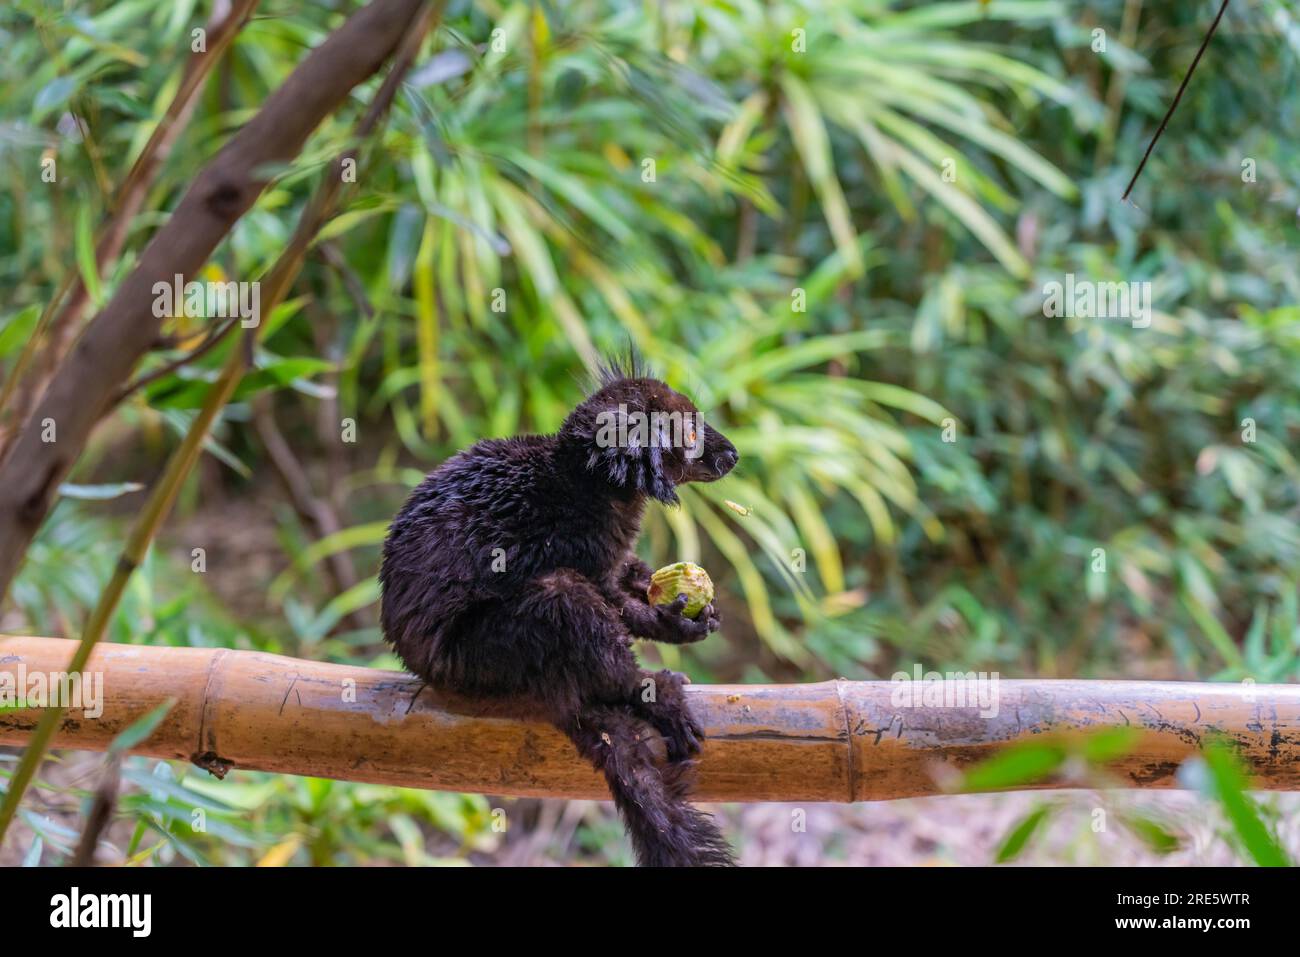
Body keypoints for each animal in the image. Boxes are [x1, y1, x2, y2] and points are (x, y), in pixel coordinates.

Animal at [379, 357, 739, 866]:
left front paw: (678, 608)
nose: (733, 455)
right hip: (479, 658)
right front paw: (668, 624)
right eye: (689, 434)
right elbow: (607, 596)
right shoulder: (578, 538)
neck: (593, 483)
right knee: (564, 597)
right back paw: (644, 689)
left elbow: (628, 577)